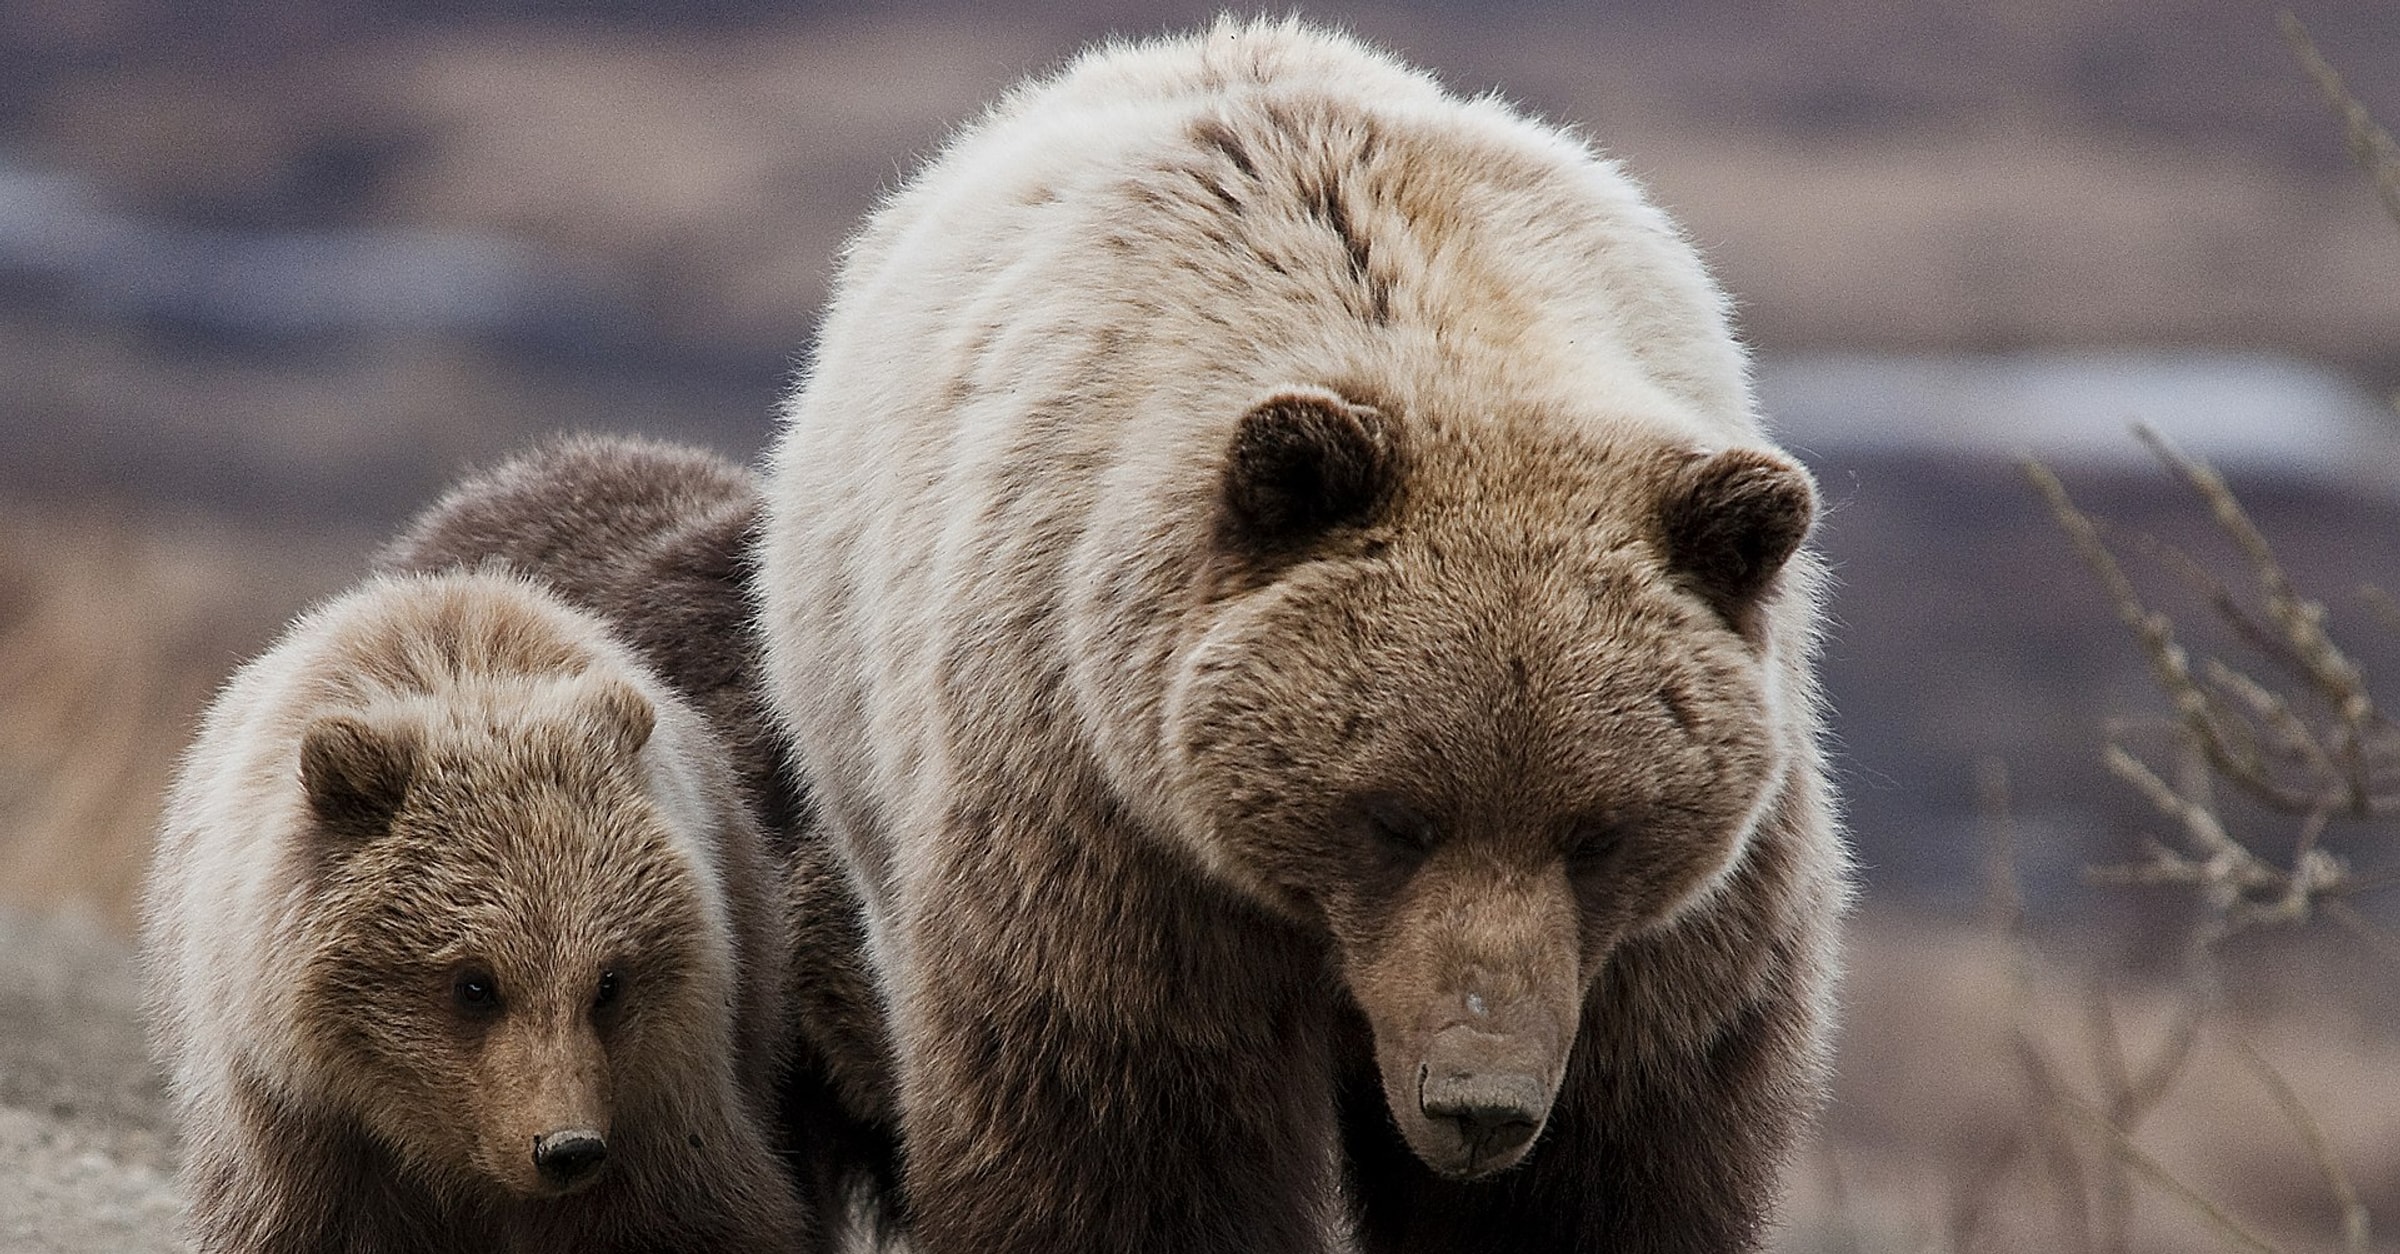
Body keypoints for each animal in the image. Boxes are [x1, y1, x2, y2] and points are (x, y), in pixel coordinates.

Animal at [755, 18, 1849, 1254]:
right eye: (1396, 816)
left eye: (1600, 831)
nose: (1478, 1102)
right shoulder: (1113, 833)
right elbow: (1125, 1147)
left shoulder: (1670, 948)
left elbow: (1611, 1168)